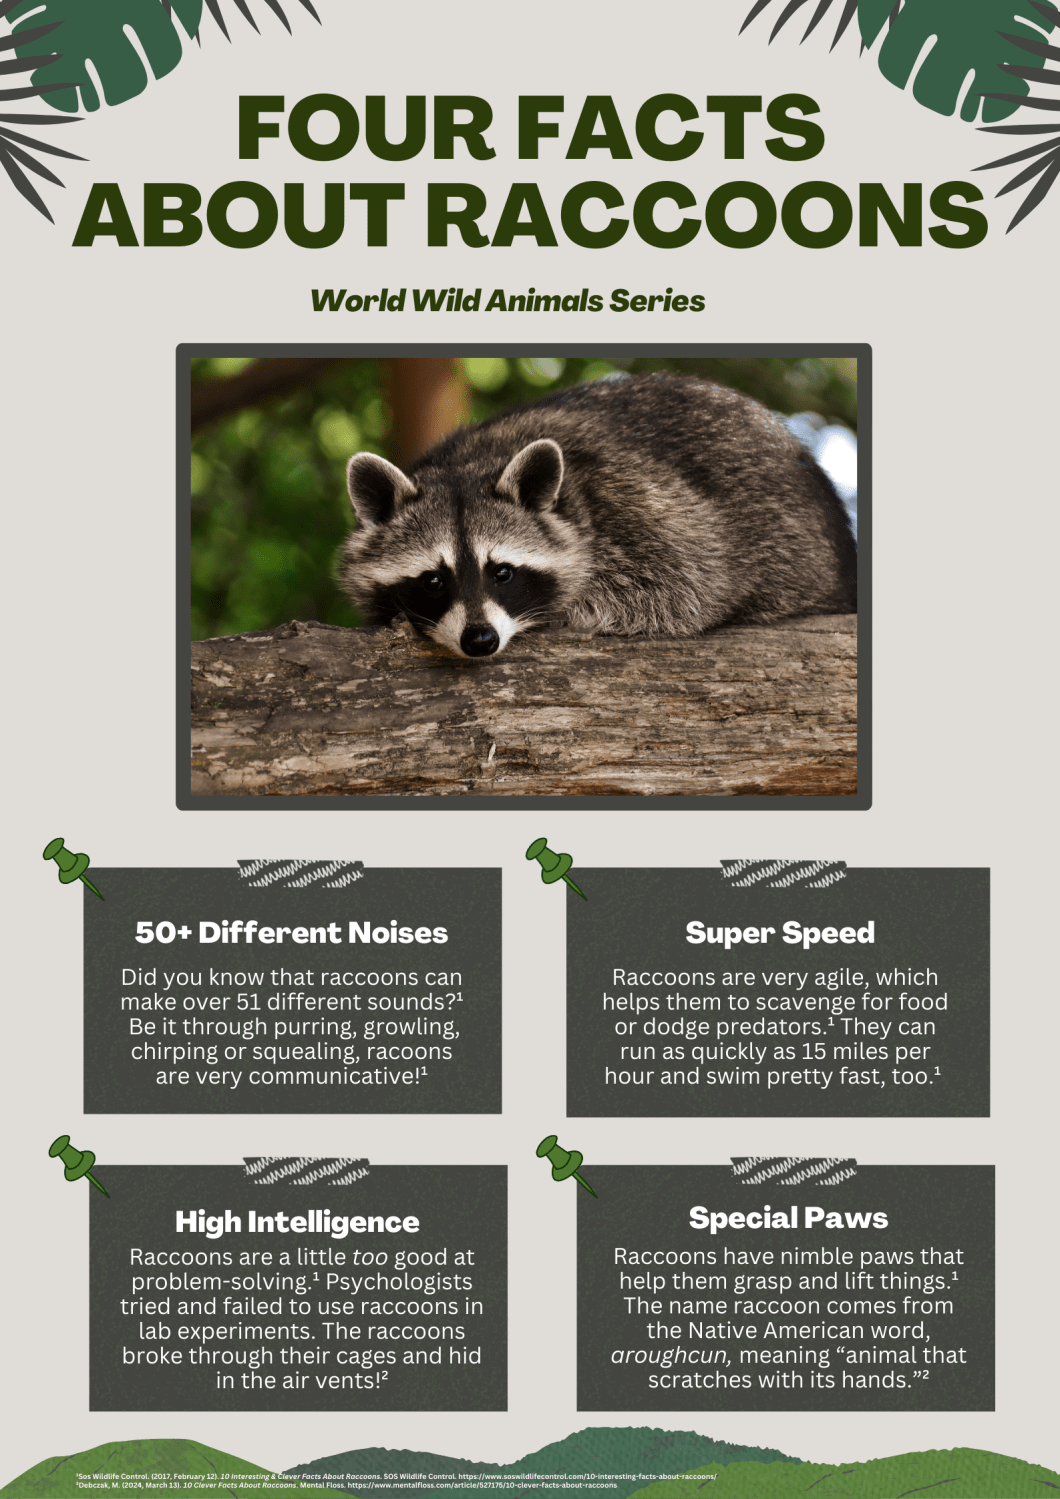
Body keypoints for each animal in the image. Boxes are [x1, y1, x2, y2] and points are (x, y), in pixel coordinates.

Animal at [340, 372, 857, 659]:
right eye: (432, 580)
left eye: (502, 572)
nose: (480, 640)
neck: (469, 463)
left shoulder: (643, 511)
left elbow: (690, 587)